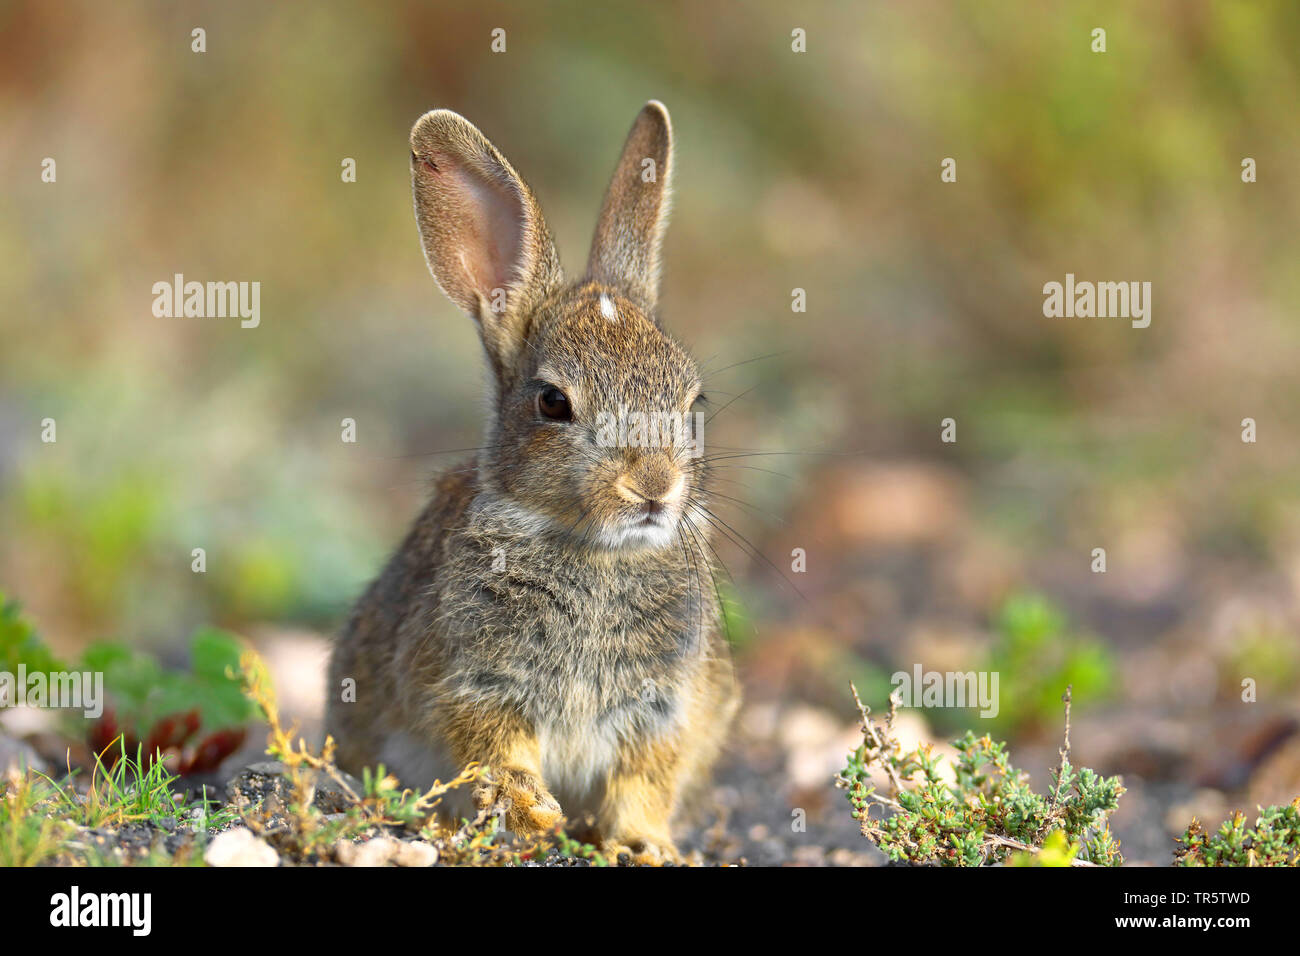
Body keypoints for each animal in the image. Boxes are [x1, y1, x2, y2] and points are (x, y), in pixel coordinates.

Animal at [325, 101, 739, 864]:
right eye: (553, 402)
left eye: (692, 402)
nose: (654, 485)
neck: (596, 551)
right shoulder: (477, 682)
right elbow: (496, 750)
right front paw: (532, 814)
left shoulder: (664, 705)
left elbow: (643, 783)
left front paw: (644, 846)